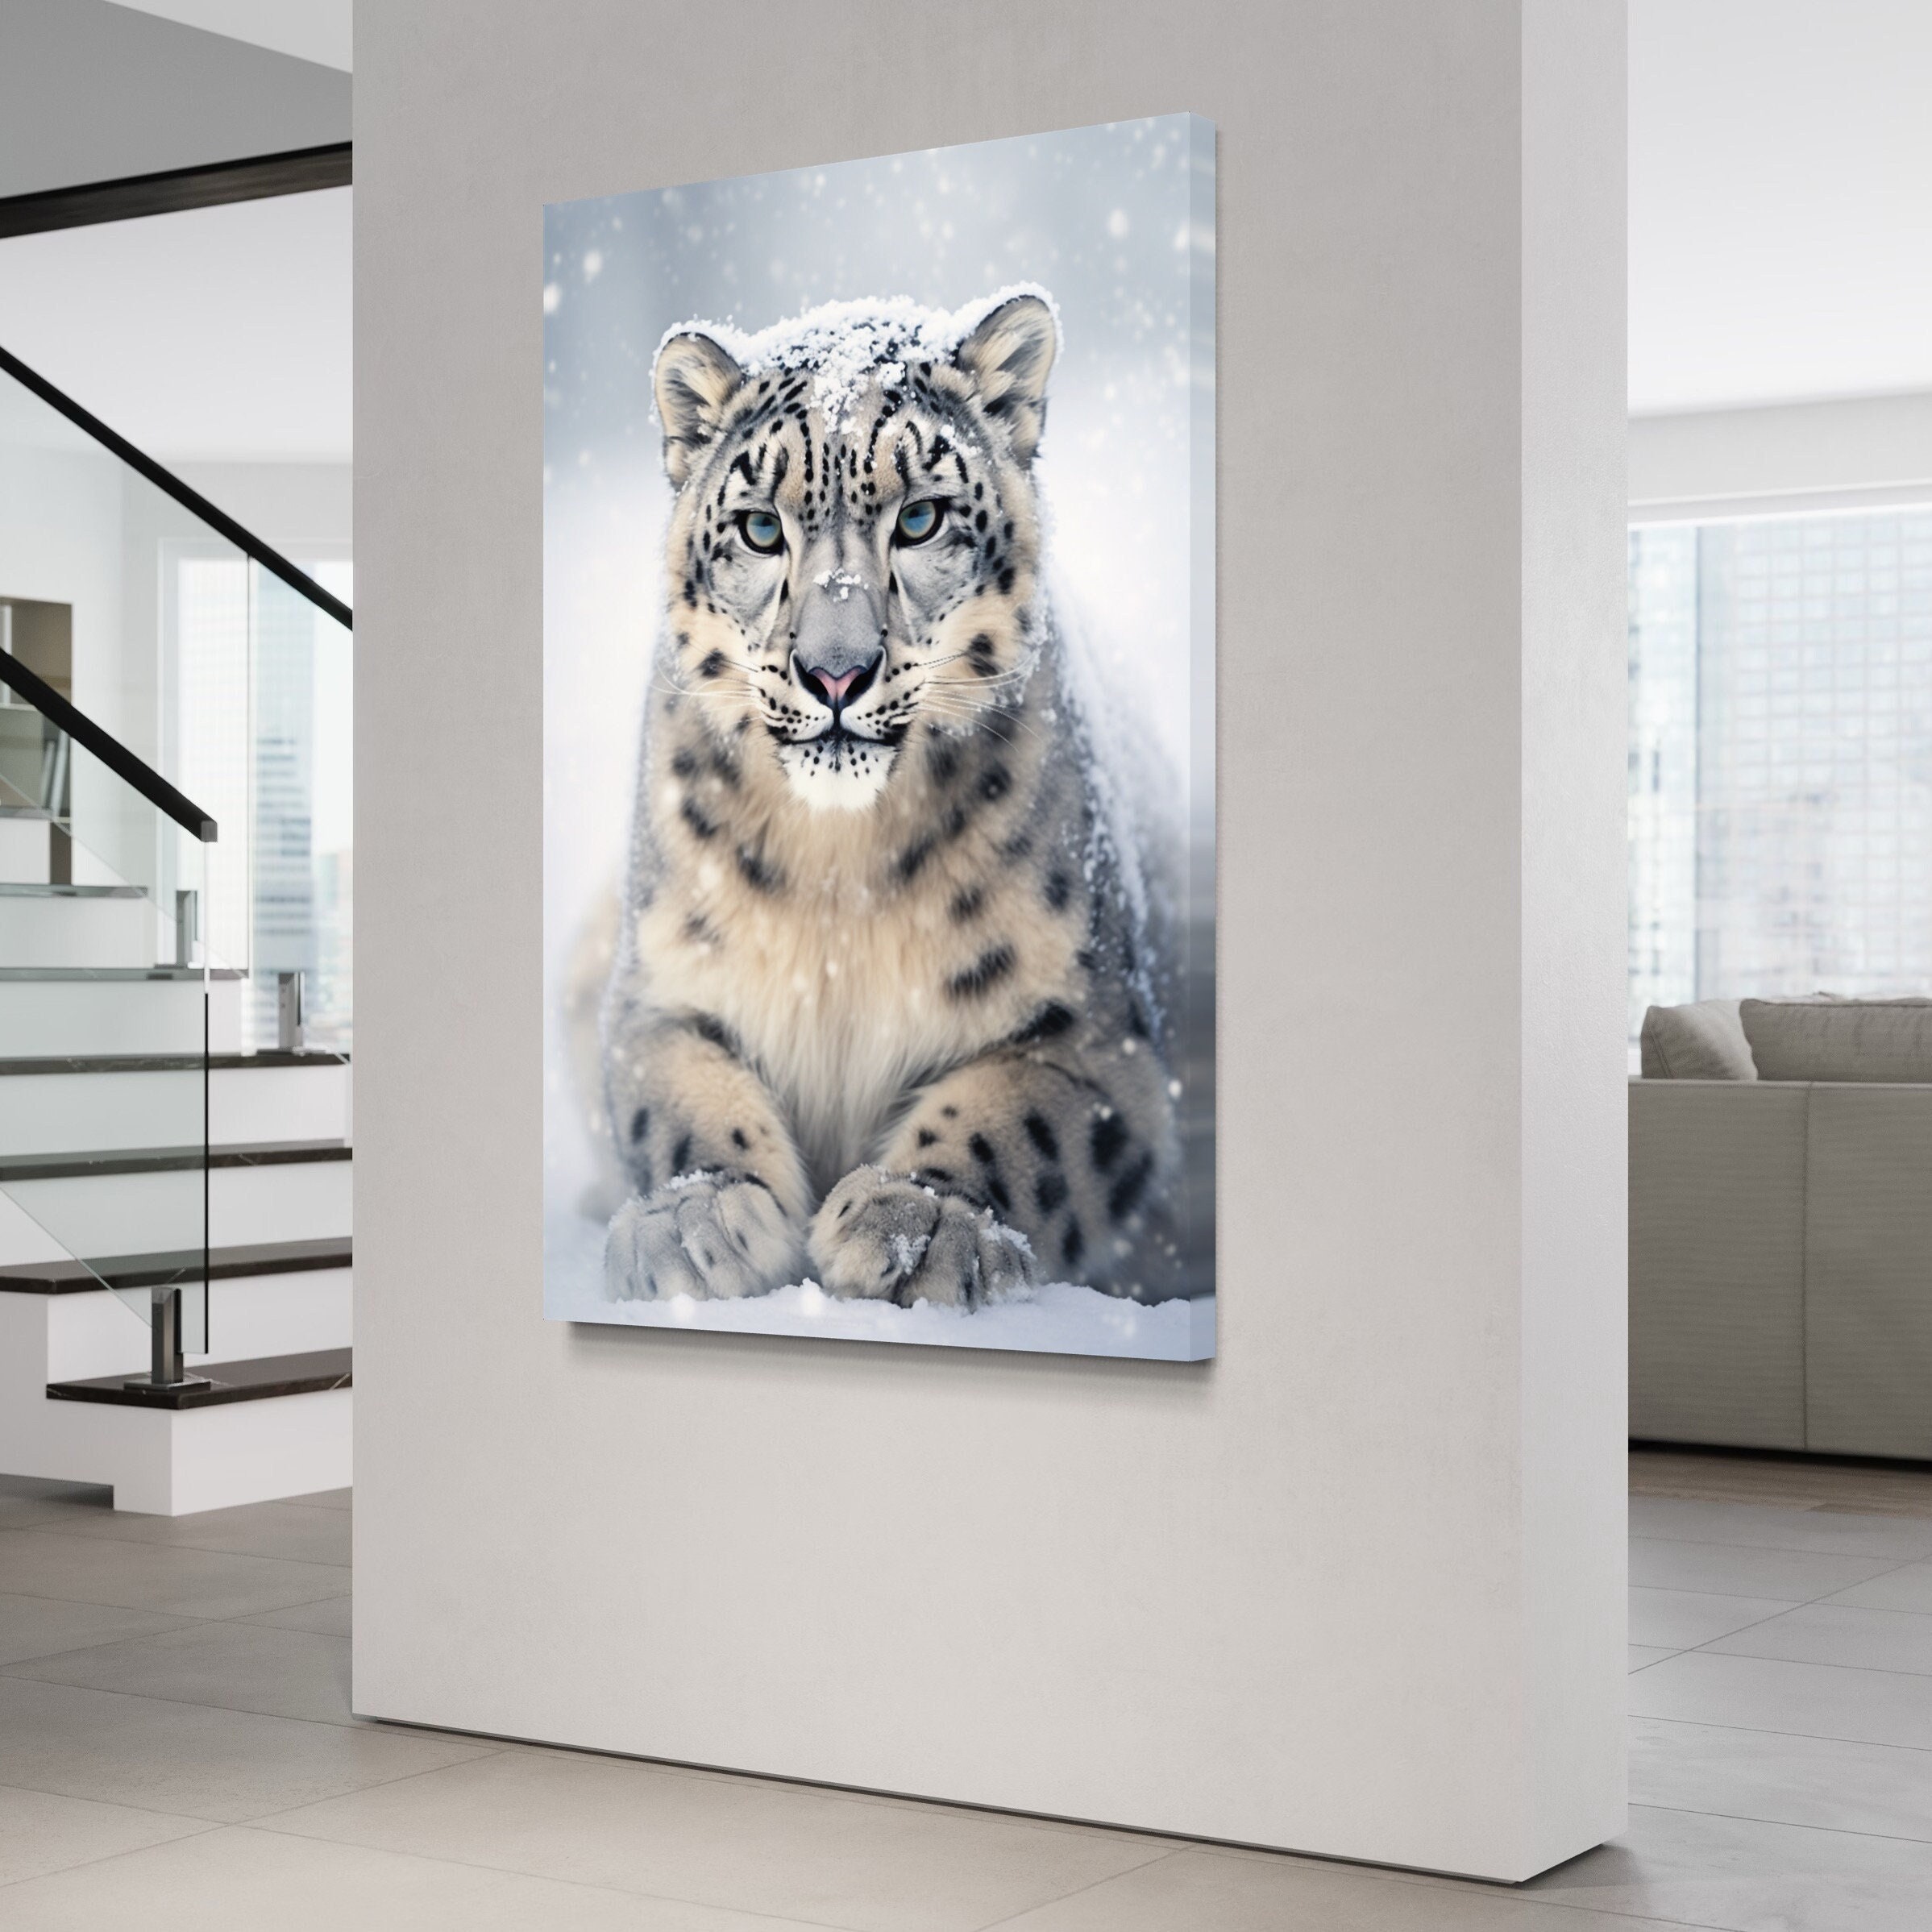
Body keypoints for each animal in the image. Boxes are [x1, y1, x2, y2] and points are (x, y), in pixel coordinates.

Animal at [599, 287, 1183, 1313]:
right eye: (760, 528)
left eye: (920, 518)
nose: (836, 672)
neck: (840, 878)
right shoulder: (660, 982)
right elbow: (671, 1094)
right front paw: (698, 1219)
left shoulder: (1097, 1031)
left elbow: (1022, 1117)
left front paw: (922, 1222)